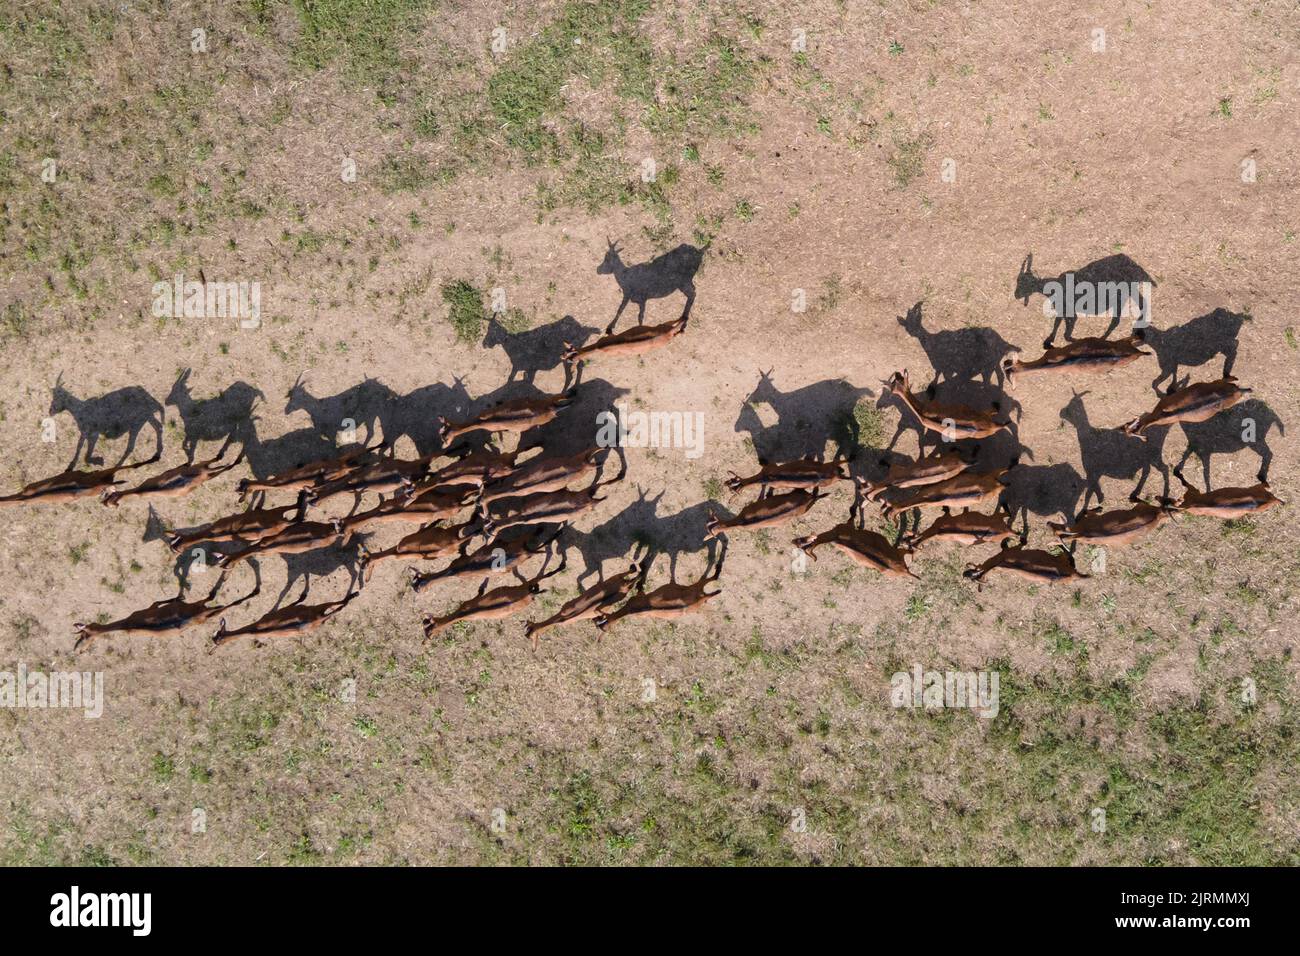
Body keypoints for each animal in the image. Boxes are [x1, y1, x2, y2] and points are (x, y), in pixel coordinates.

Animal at [1119, 376, 1251, 438]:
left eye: (1129, 432)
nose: (1121, 430)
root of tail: (1236, 391)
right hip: (1219, 386)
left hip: (1216, 384)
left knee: (1226, 379)